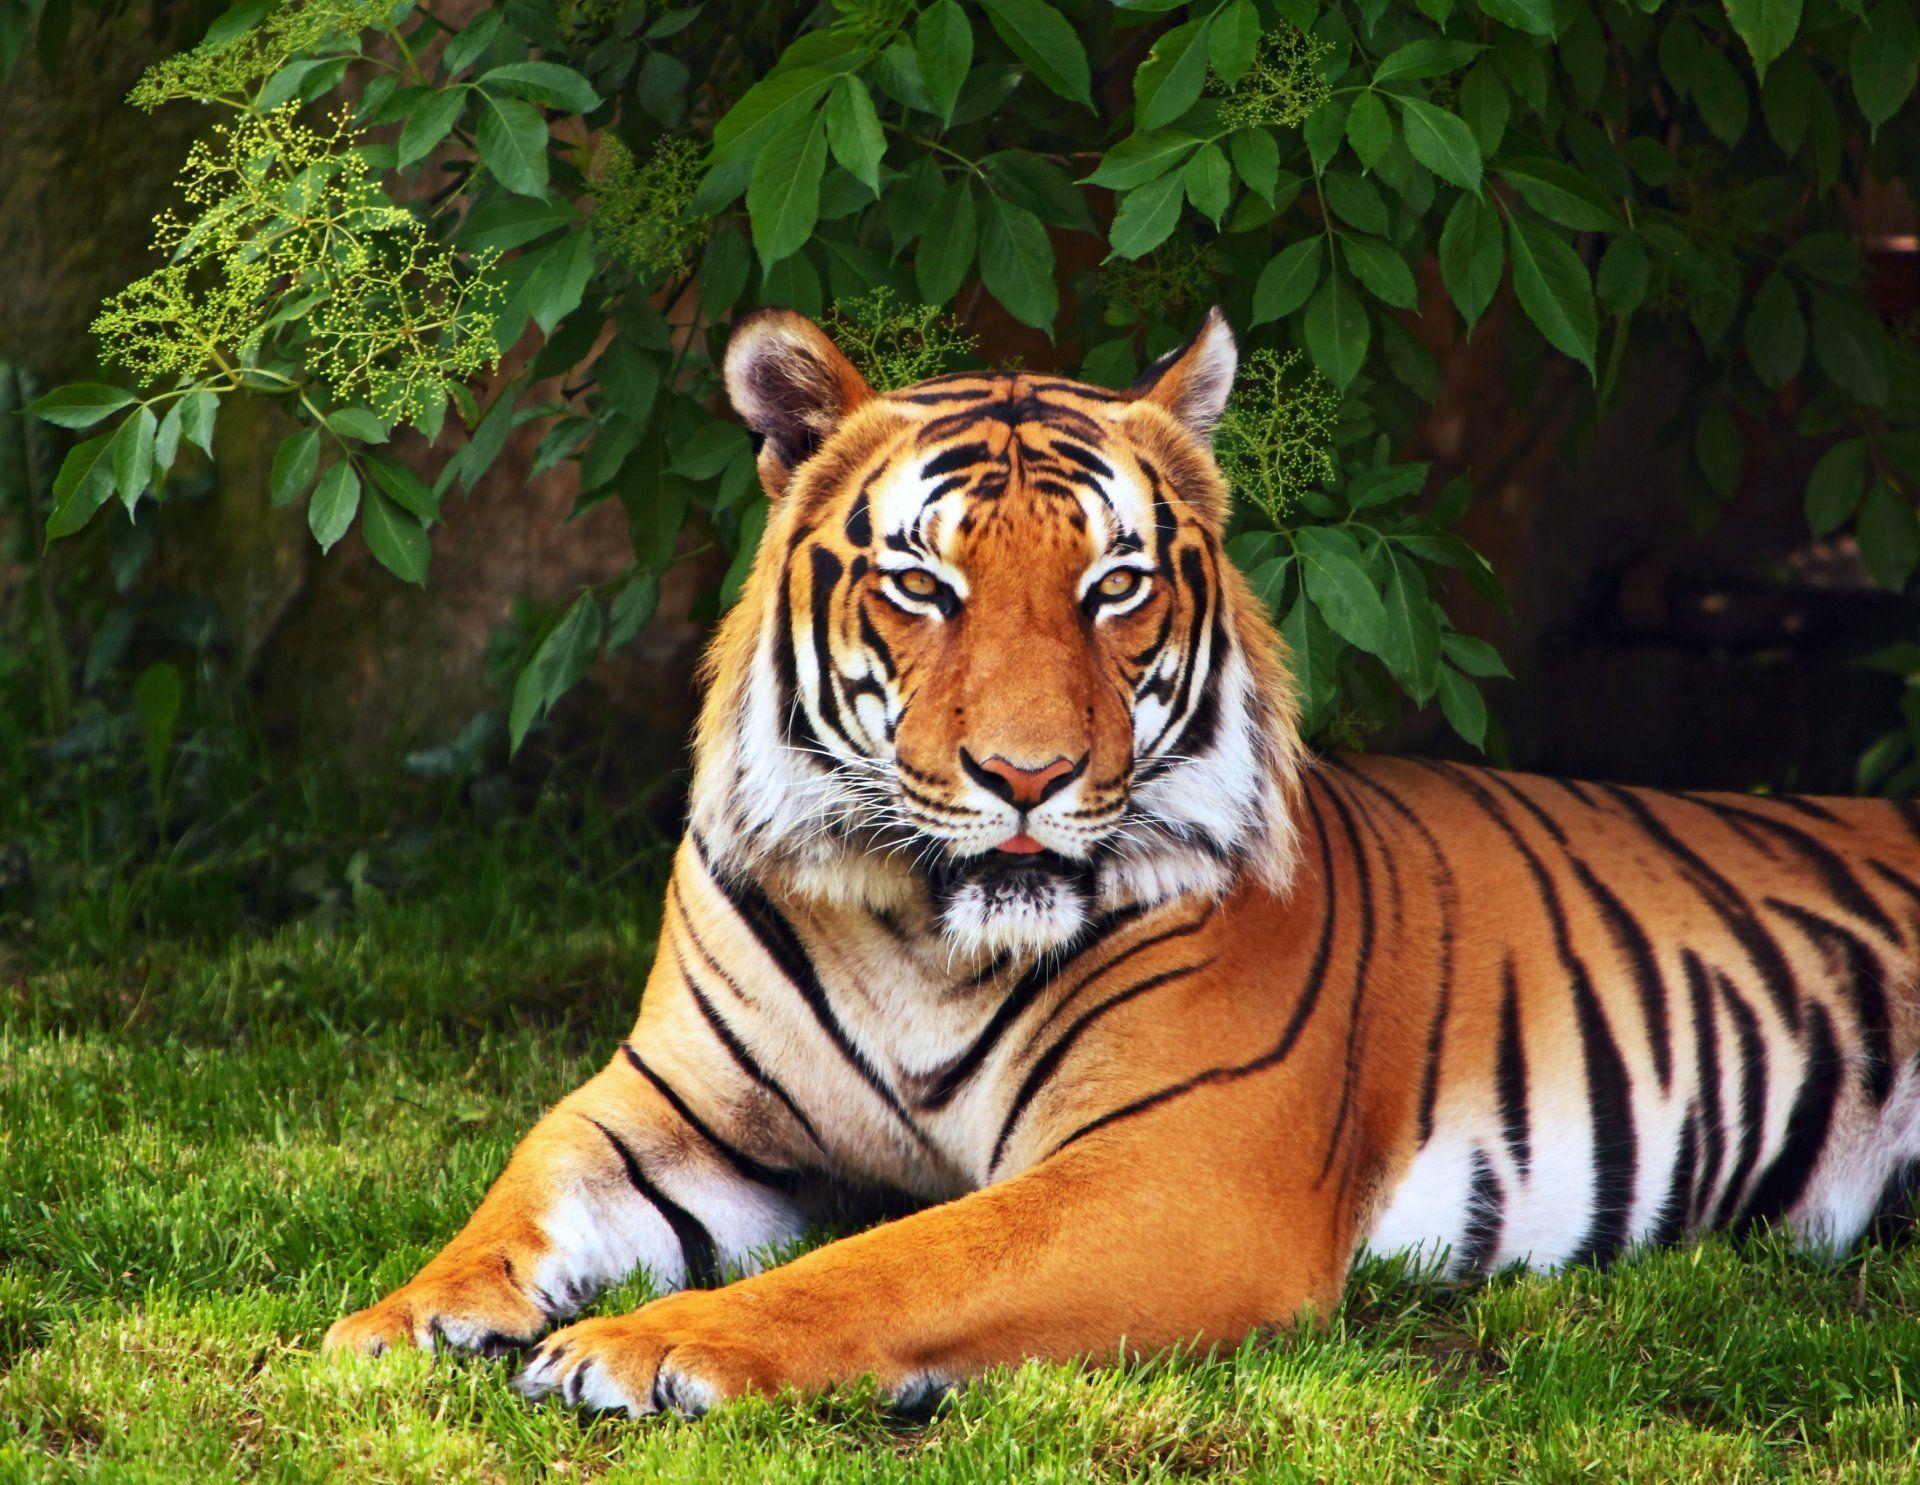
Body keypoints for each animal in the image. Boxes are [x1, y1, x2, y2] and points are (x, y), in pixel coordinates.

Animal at [324, 306, 1920, 1419]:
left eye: (1116, 586)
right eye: (924, 584)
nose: (1028, 778)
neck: (921, 932)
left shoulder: (1176, 1170)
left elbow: (896, 1260)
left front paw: (645, 1347)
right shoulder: (672, 1108)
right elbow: (525, 1186)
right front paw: (394, 1321)